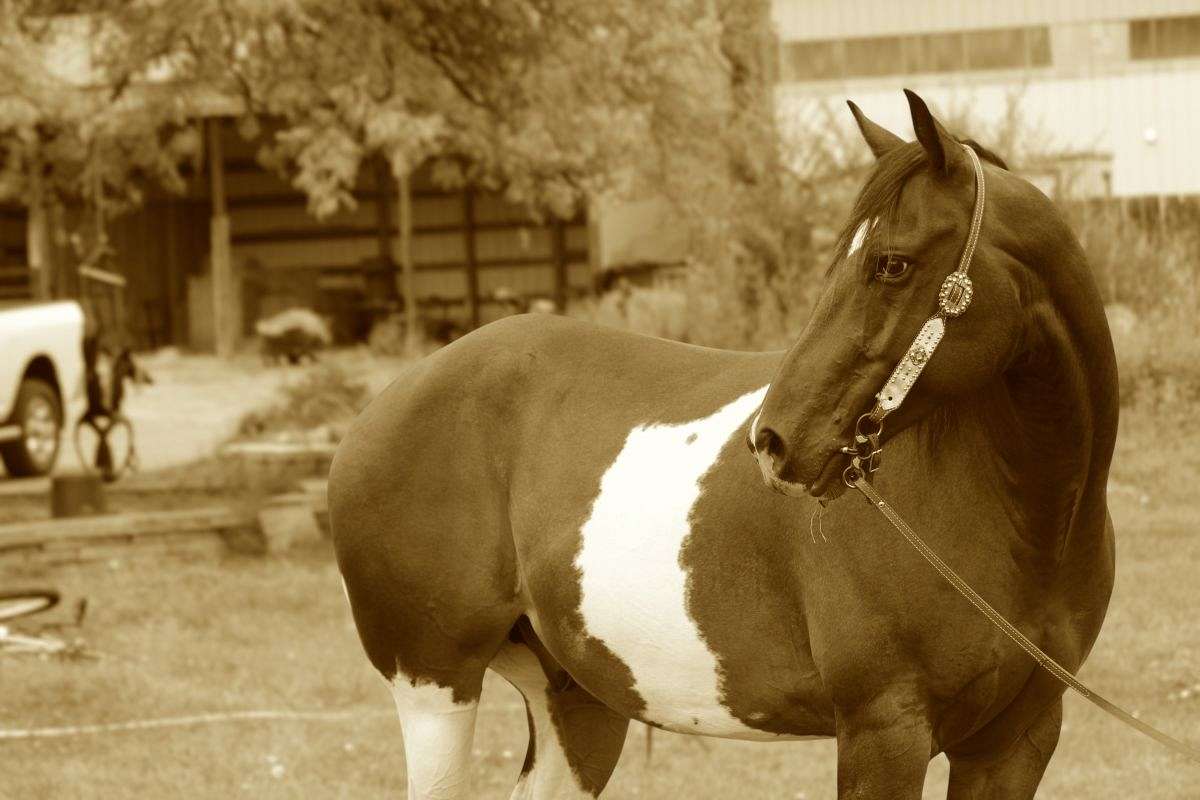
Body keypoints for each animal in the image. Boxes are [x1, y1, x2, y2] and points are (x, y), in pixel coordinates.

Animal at [328, 90, 1118, 799]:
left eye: (891, 263)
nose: (773, 441)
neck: (1016, 521)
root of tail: (379, 408)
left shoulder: (1015, 741)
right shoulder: (883, 733)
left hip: (577, 699)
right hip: (435, 689)